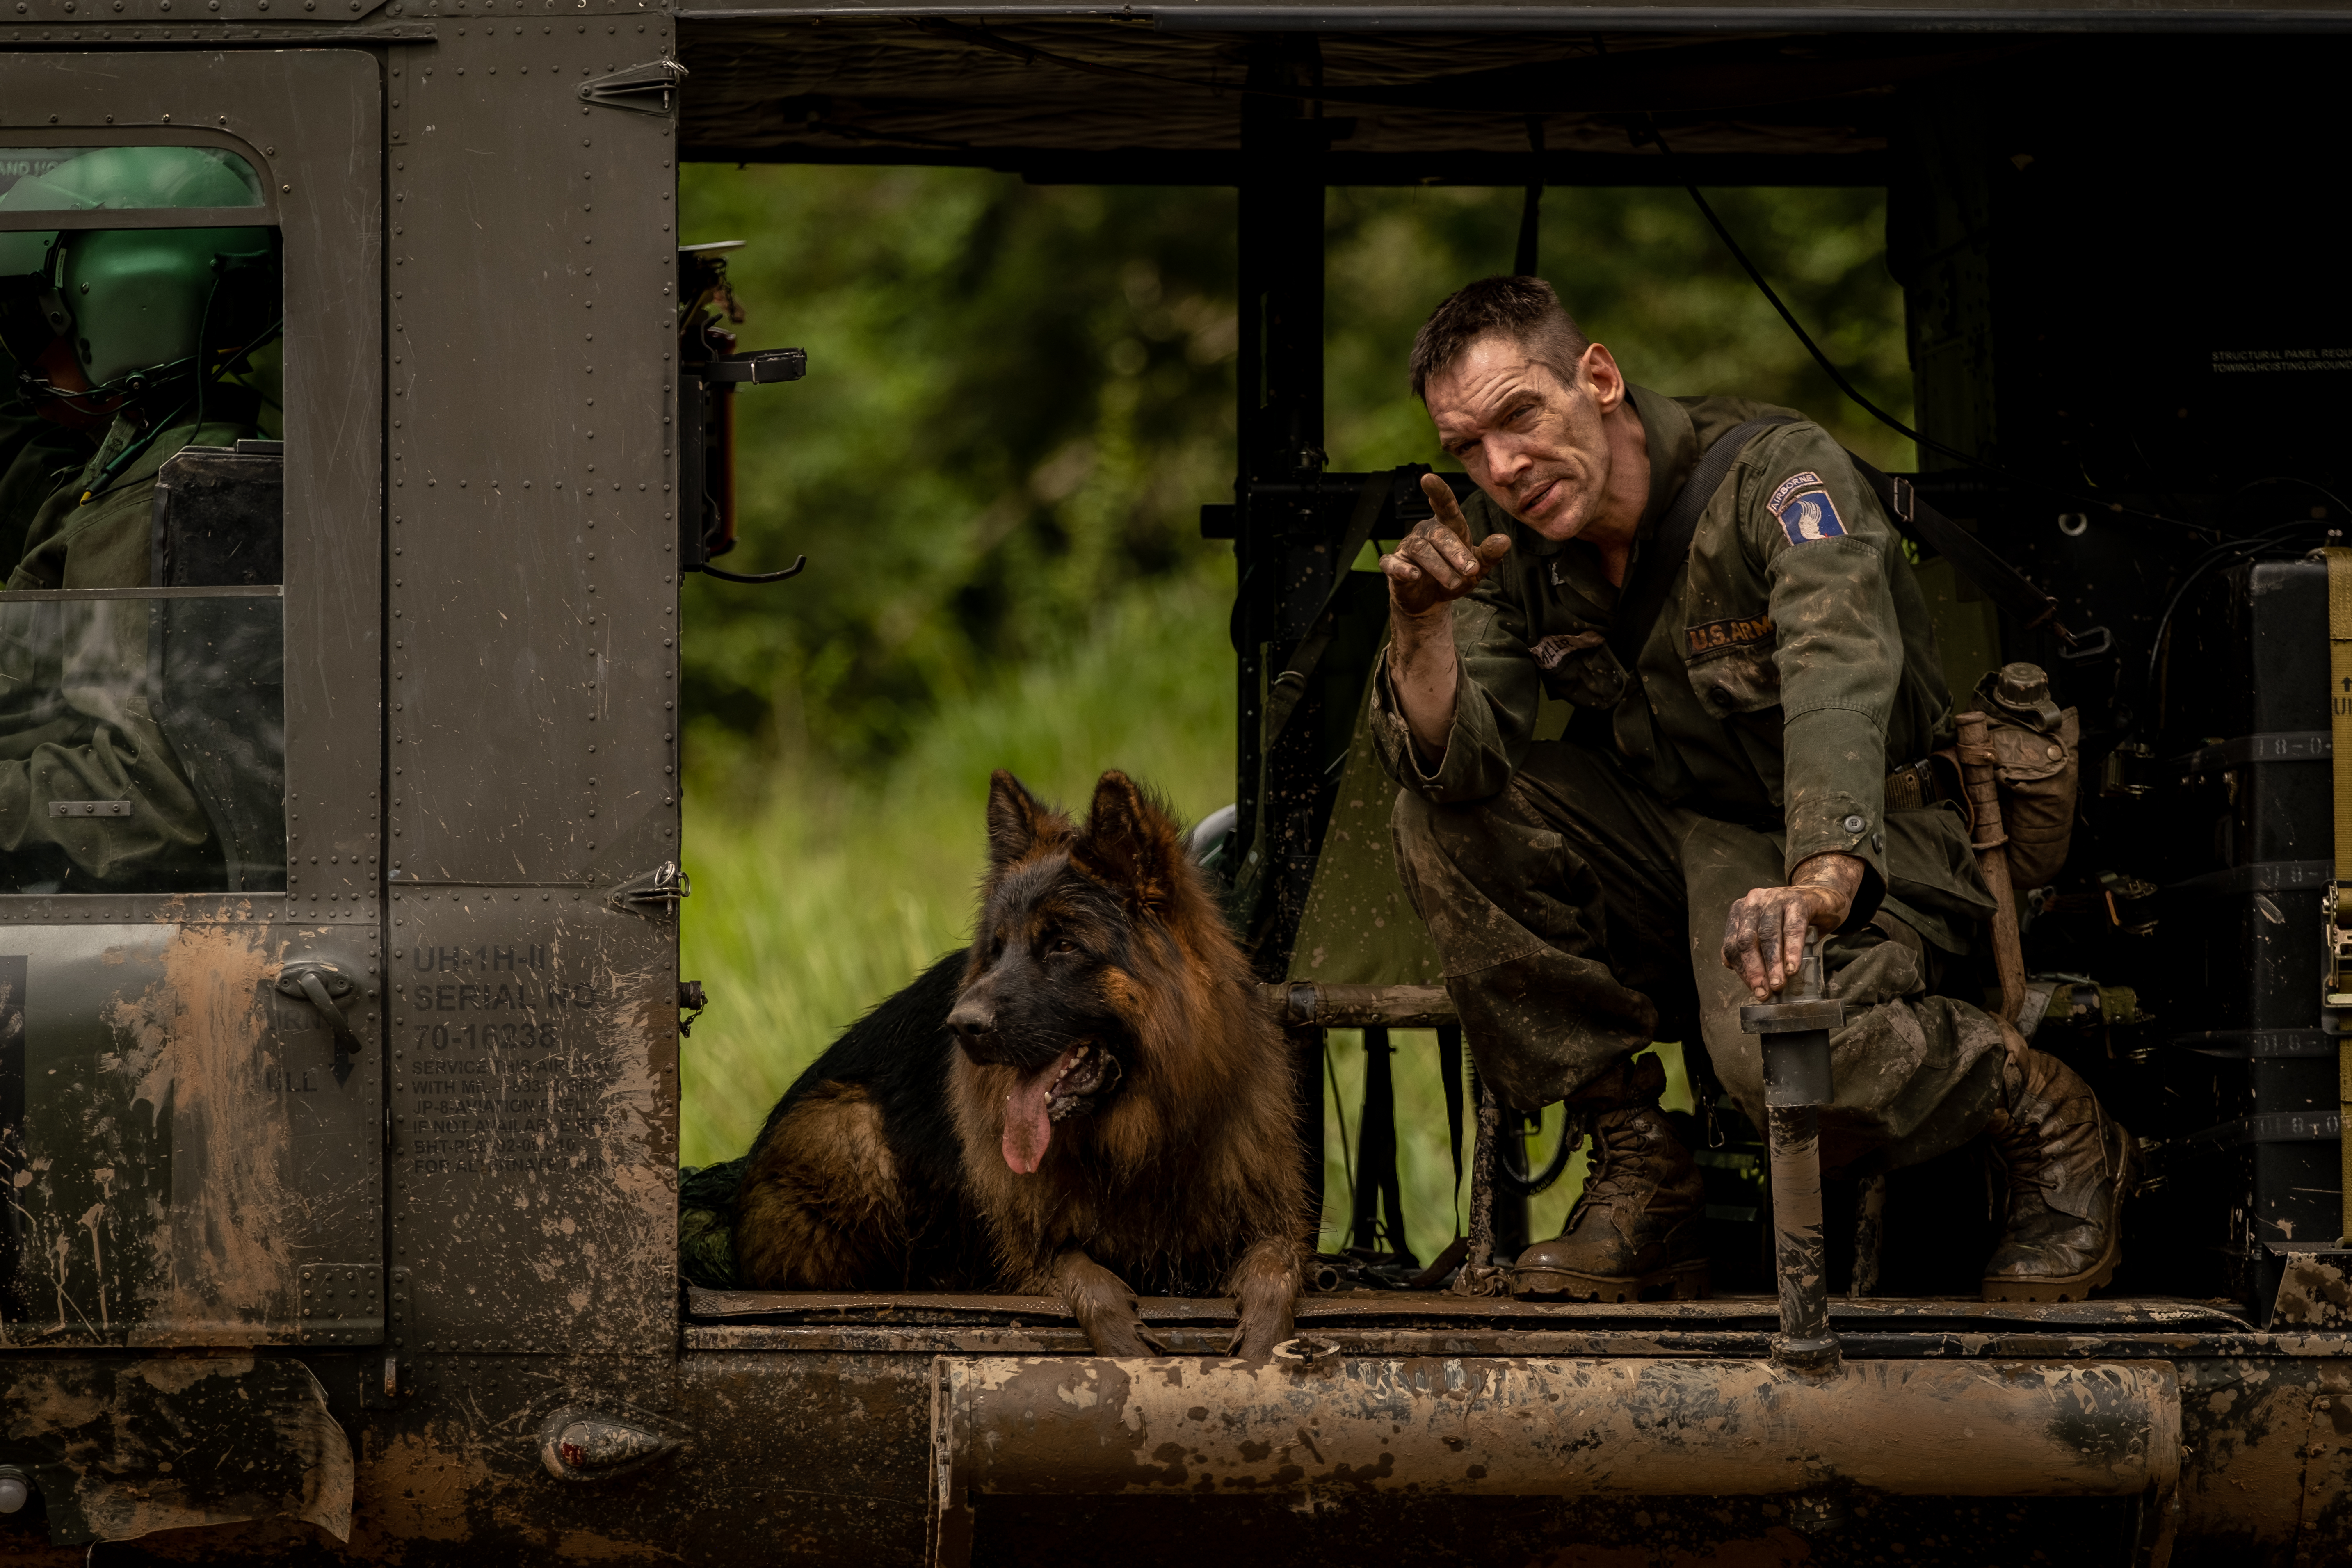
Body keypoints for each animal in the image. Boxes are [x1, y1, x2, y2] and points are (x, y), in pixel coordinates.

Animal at [734, 766, 1308, 1354]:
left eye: (1063, 945)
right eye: (997, 948)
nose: (959, 1025)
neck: (1133, 1140)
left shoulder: (1265, 1219)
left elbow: (1276, 1267)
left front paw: (1264, 1343)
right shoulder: (1030, 1251)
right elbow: (1082, 1273)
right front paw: (1124, 1342)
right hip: (850, 1127)